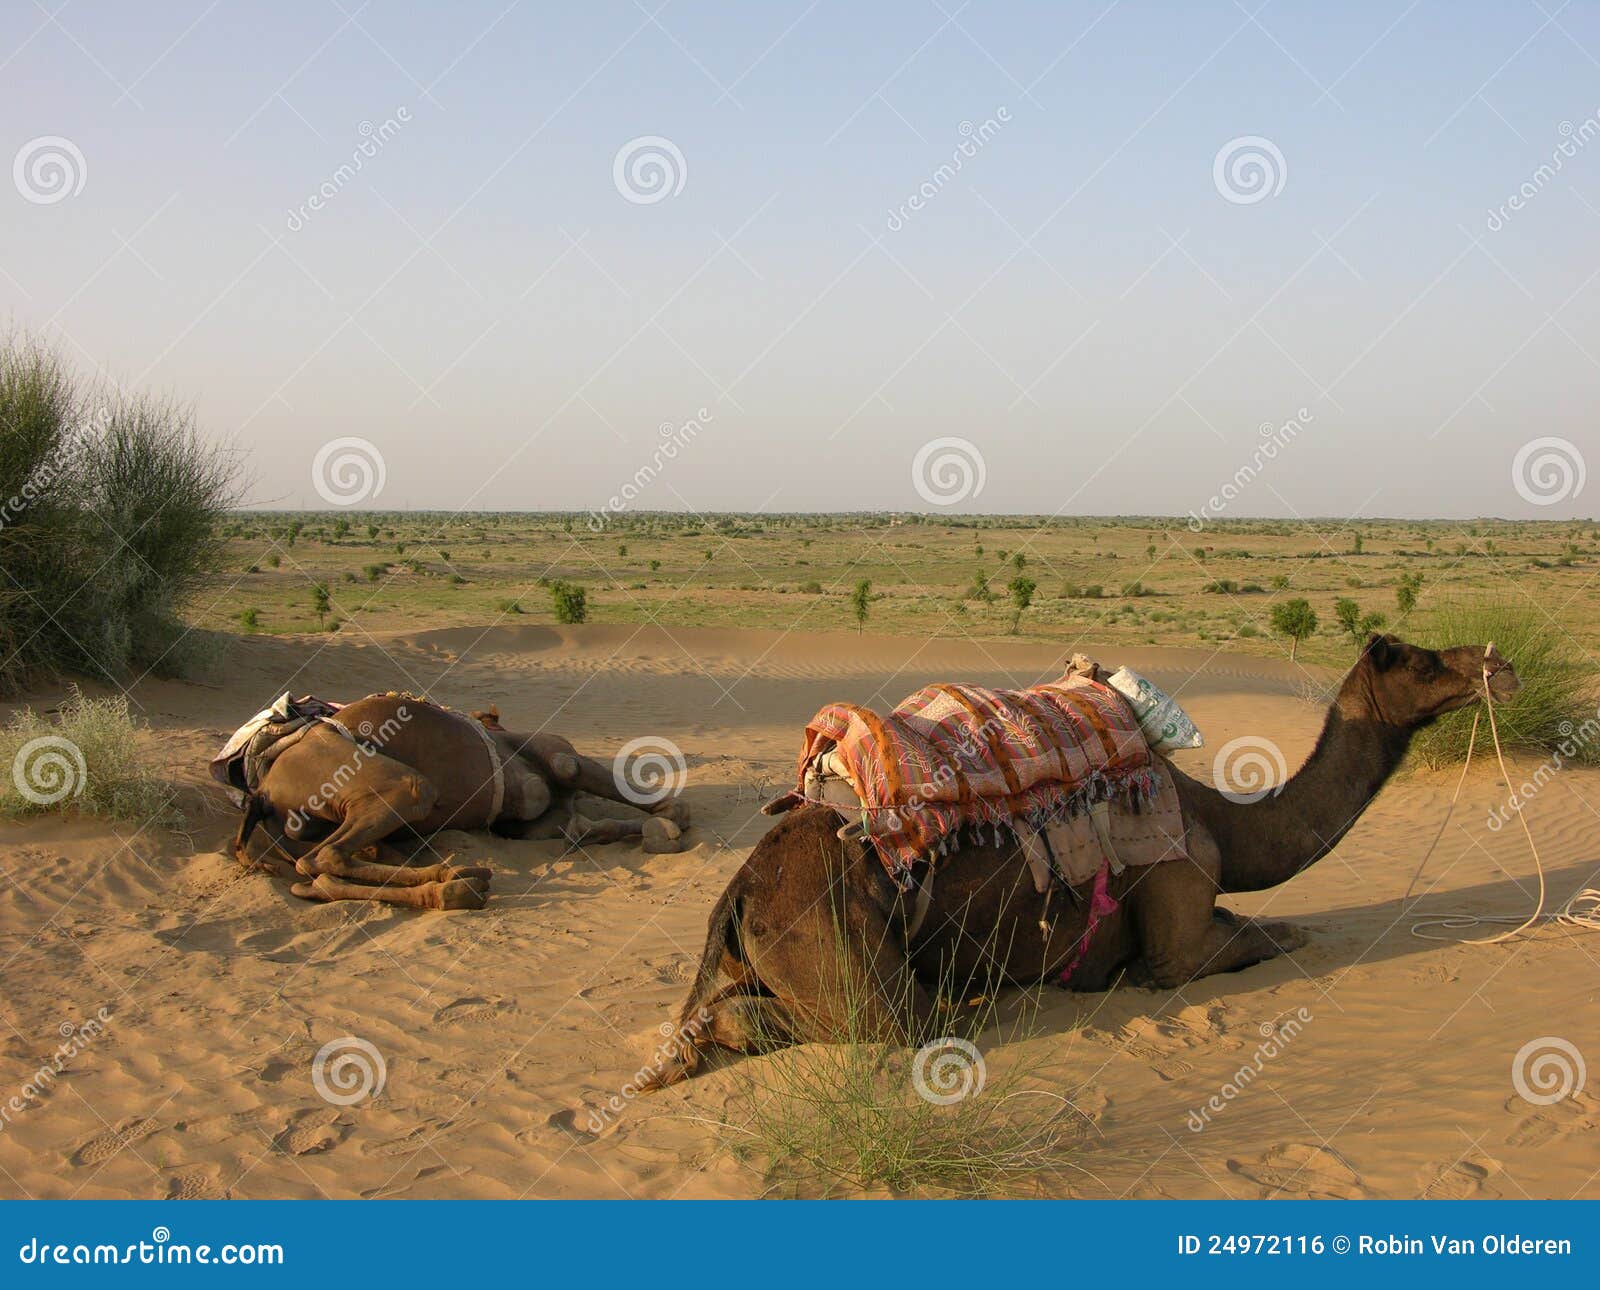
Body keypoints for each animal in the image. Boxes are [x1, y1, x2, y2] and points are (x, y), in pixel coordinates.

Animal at [231, 695, 689, 910]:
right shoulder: (552, 762)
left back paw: (456, 883)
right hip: (399, 786)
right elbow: (570, 768)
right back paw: (457, 882)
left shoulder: (538, 823)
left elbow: (582, 826)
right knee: (327, 857)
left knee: (318, 871)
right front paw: (667, 823)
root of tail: (262, 793)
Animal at [644, 634, 1519, 1086]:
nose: (1499, 662)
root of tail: (741, 890)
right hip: (851, 959)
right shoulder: (1178, 921)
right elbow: (1261, 937)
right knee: (890, 1018)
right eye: (1422, 661)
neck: (1220, 822)